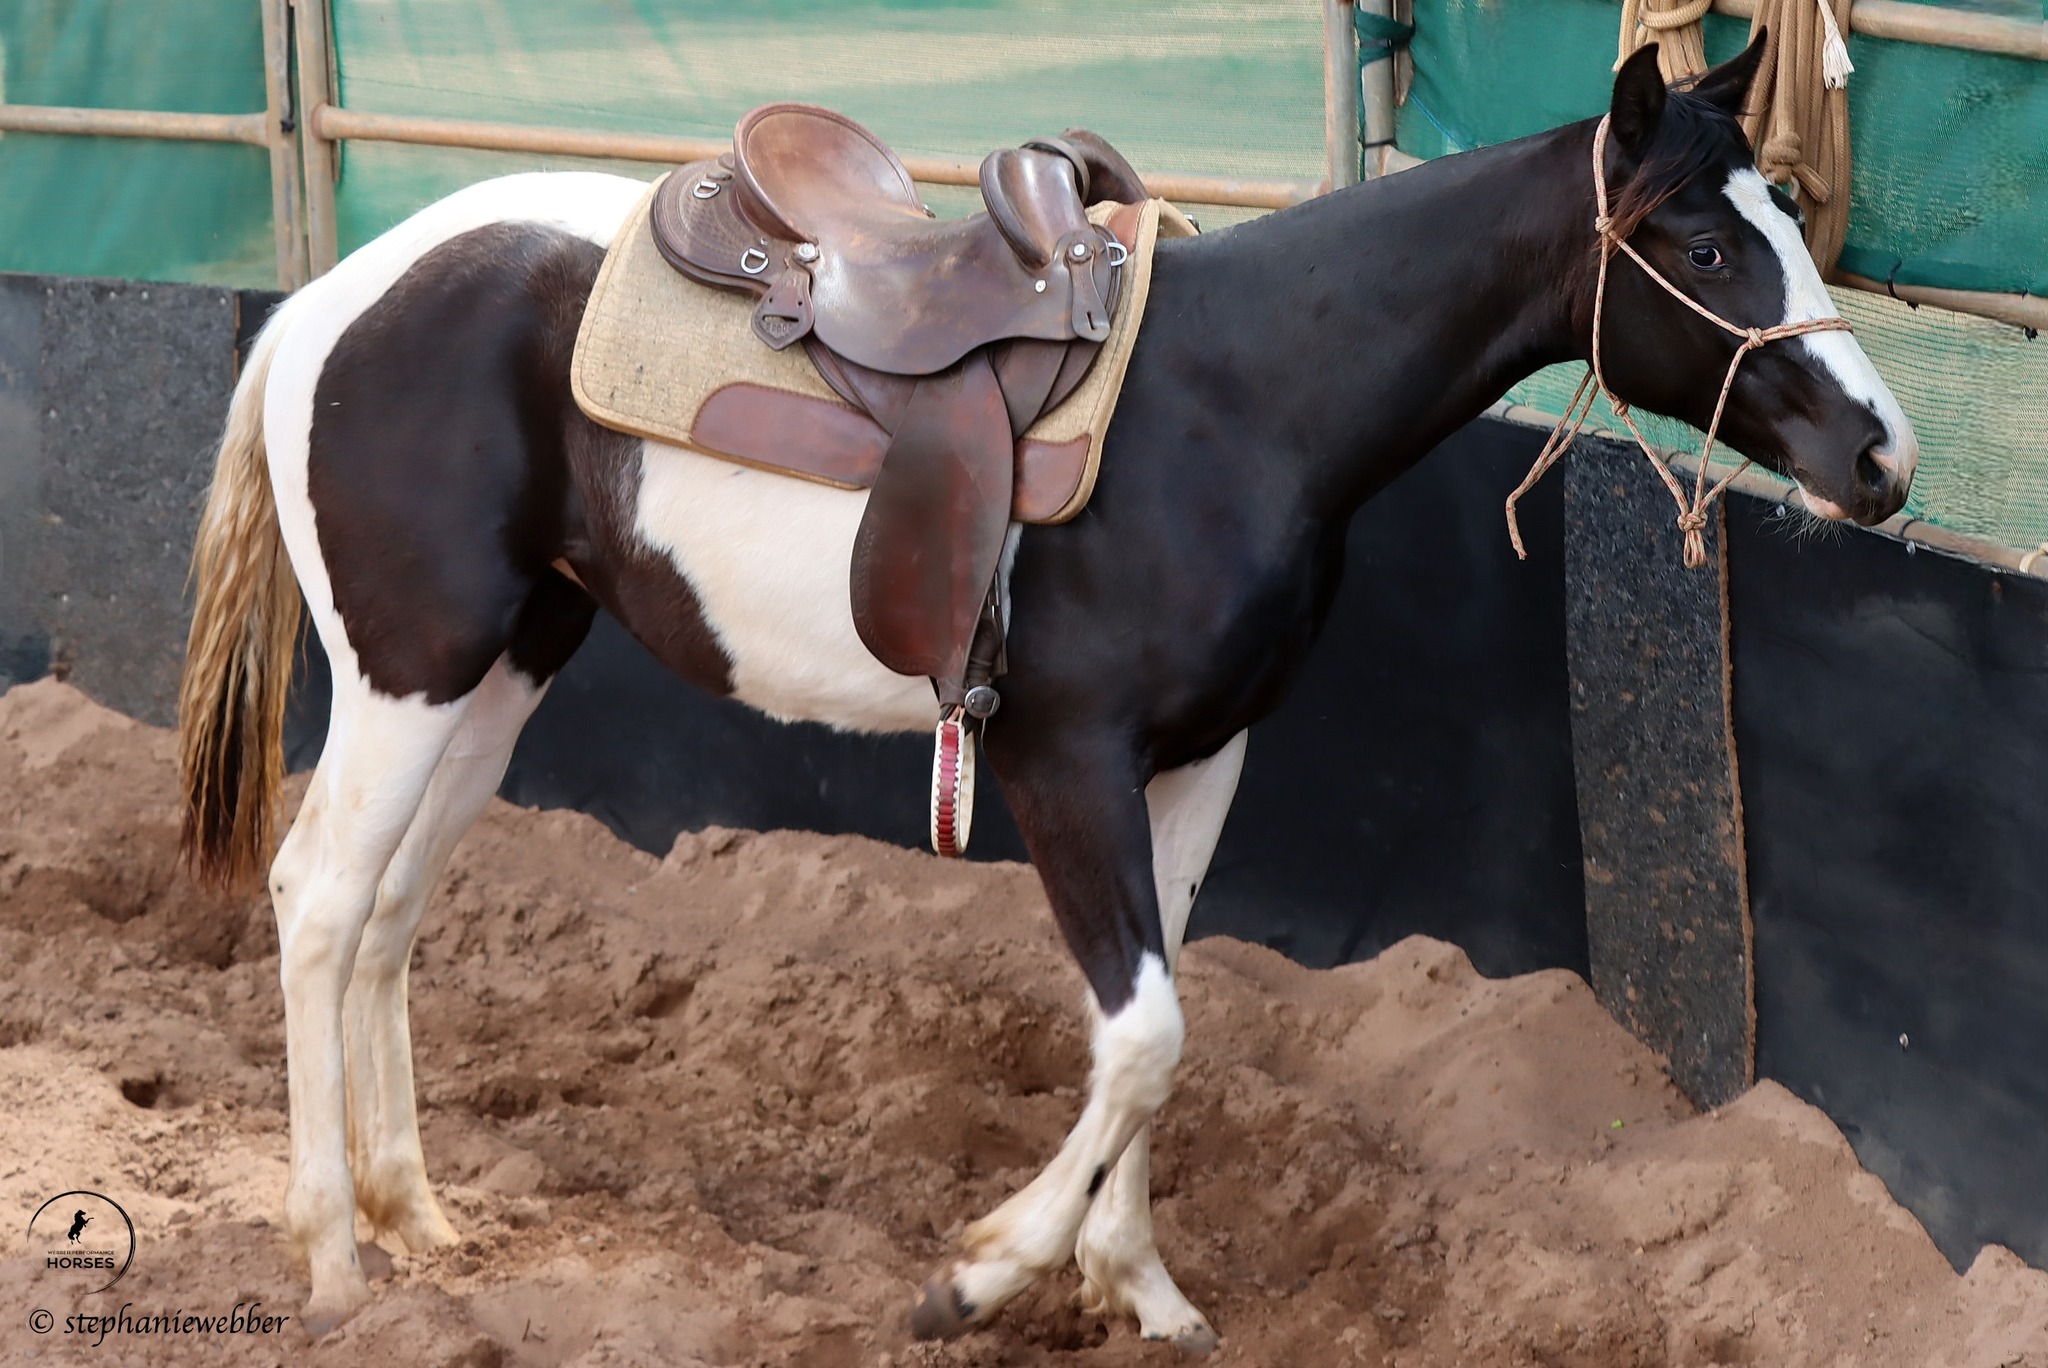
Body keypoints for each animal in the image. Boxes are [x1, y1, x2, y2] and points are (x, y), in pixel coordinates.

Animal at [175, 39, 1914, 1346]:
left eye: (1788, 221)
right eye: (1705, 247)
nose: (1883, 458)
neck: (1240, 401)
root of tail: (329, 298)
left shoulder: (1200, 763)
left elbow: (1156, 1022)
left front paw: (1135, 1286)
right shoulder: (1059, 762)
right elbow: (1142, 1034)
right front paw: (983, 1273)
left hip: (501, 674)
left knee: (392, 909)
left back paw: (418, 1218)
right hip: (407, 673)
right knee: (319, 895)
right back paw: (332, 1260)